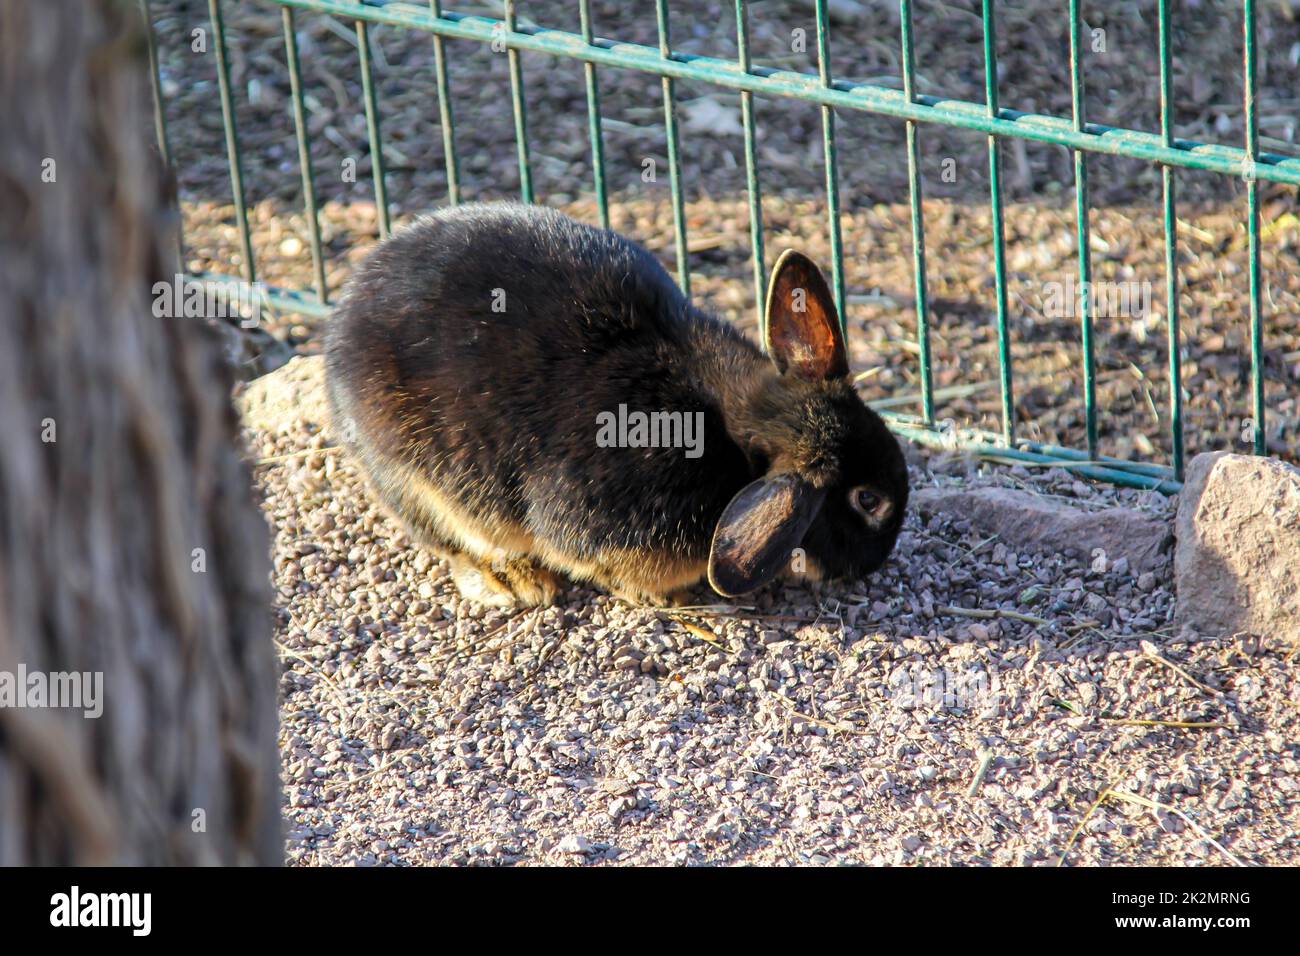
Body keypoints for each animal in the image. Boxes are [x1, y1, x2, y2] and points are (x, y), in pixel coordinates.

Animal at [325, 202, 908, 607]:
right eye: (868, 501)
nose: (877, 563)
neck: (740, 428)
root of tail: (343, 325)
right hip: (420, 479)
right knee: (450, 540)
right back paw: (518, 582)